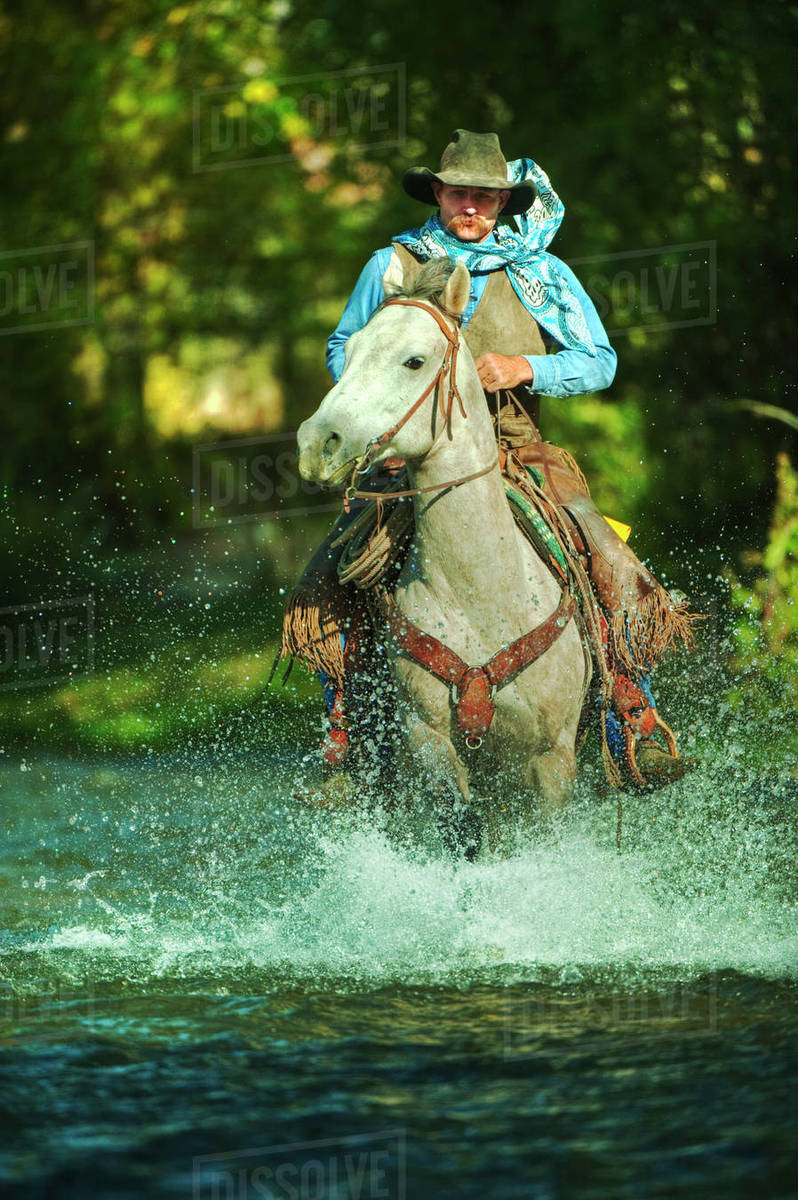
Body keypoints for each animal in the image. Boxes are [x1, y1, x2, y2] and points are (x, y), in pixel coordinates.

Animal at [297, 259, 591, 853]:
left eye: (415, 360)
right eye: (351, 349)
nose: (317, 443)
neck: (485, 594)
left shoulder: (552, 758)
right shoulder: (426, 737)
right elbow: (460, 825)